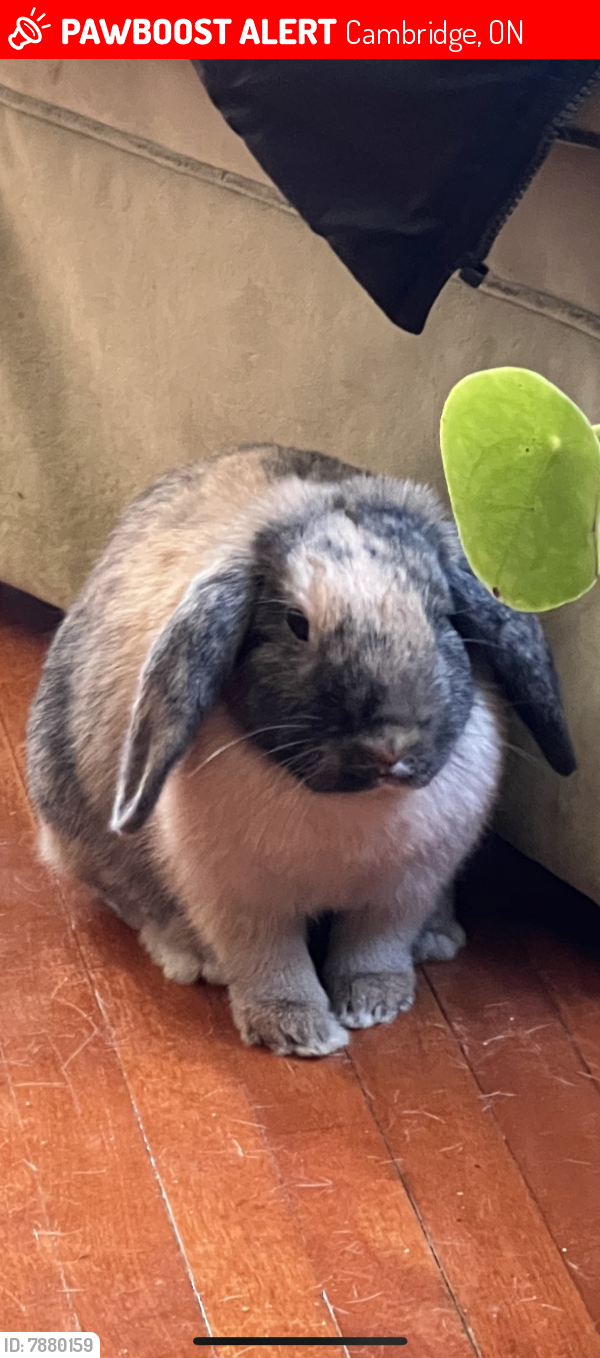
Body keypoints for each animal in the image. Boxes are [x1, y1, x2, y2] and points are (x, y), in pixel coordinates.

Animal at [26, 444, 575, 1057]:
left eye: (442, 614)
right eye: (296, 624)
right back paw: (189, 956)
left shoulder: (400, 892)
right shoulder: (240, 902)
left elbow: (373, 948)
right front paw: (301, 1034)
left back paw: (437, 937)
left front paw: (375, 1005)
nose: (391, 747)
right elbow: (272, 966)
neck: (351, 810)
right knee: (131, 898)